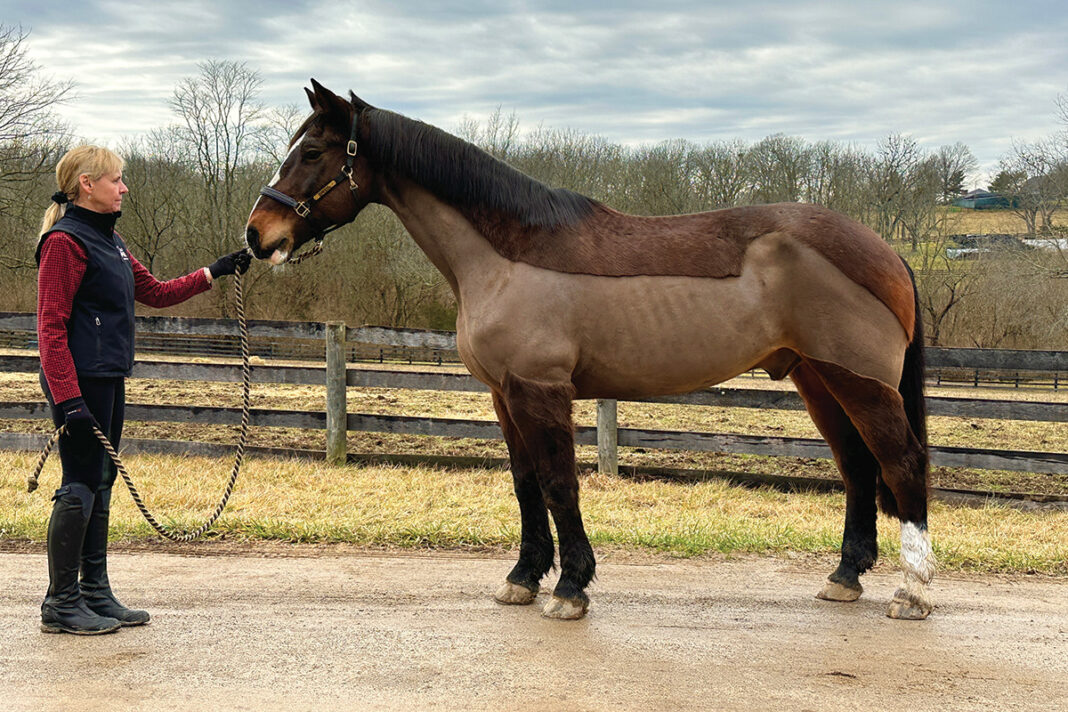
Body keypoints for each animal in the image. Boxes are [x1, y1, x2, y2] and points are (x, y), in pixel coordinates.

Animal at [245, 79, 935, 621]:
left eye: (312, 151)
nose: (257, 236)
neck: (505, 256)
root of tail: (885, 251)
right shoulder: (504, 395)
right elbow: (526, 484)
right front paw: (522, 579)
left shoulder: (542, 390)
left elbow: (558, 484)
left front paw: (571, 588)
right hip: (818, 379)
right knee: (858, 466)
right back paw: (845, 579)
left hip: (860, 383)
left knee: (901, 463)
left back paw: (915, 592)